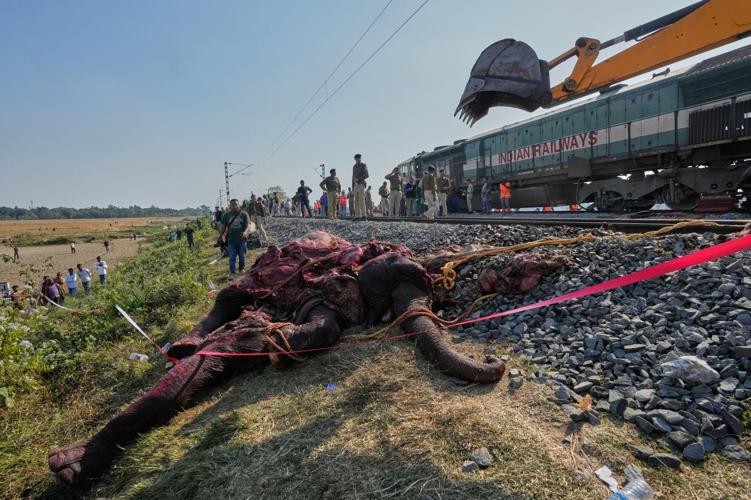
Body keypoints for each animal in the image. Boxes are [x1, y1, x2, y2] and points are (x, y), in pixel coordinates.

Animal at [48, 231, 506, 486]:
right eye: (393, 286)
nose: (497, 362)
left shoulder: (328, 301)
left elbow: (319, 331)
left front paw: (270, 344)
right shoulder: (324, 284)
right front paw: (260, 336)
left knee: (206, 360)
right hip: (257, 271)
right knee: (227, 298)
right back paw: (185, 345)